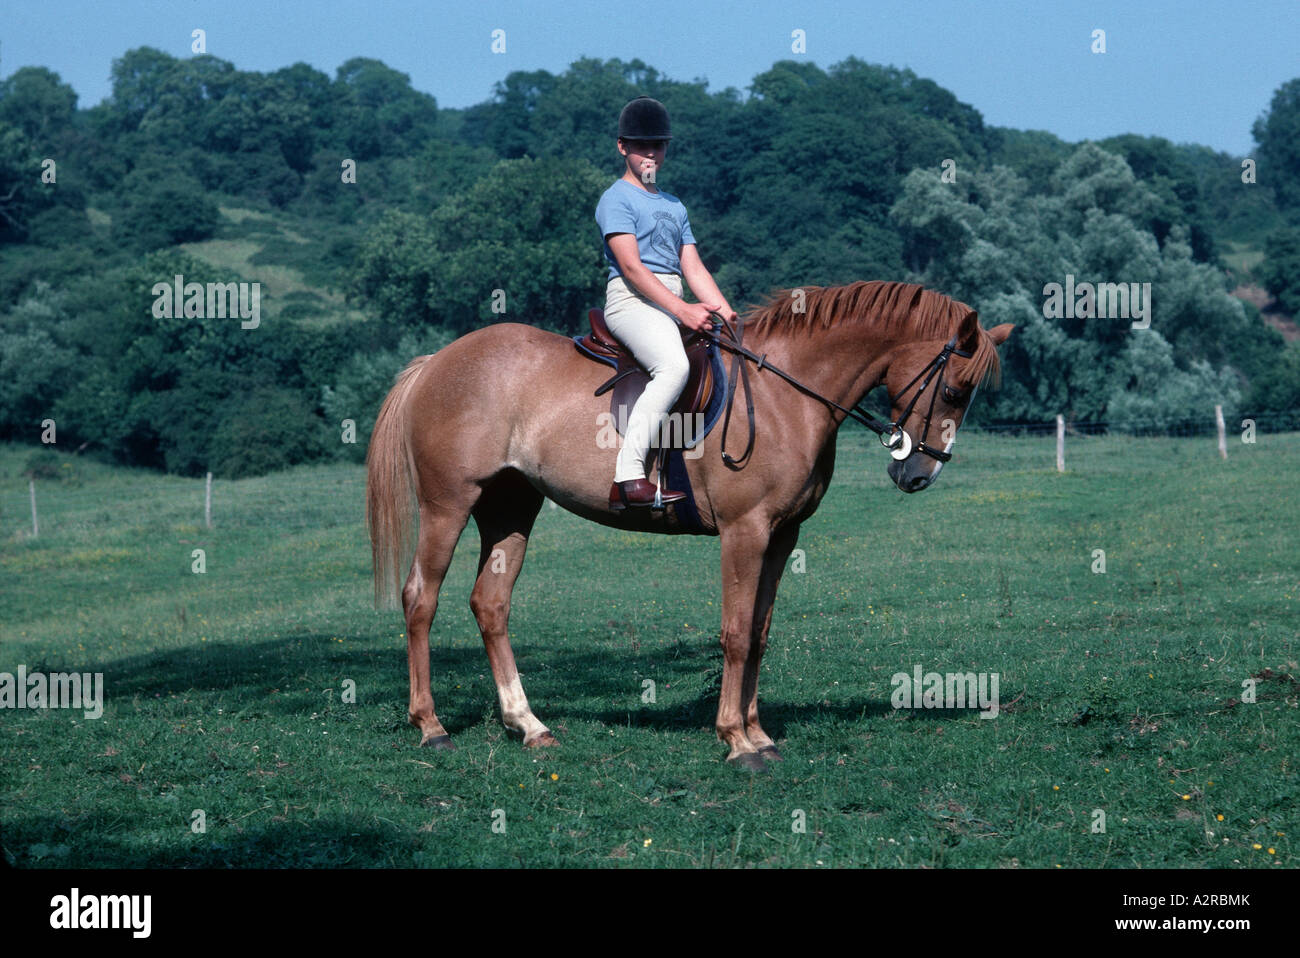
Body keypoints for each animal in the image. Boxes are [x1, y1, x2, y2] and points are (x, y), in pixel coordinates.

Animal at [366, 280, 1014, 771]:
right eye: (953, 389)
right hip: (448, 506)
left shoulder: (781, 536)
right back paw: (431, 726)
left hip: (510, 510)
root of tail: (436, 362)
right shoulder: (744, 531)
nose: (920, 473)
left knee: (491, 604)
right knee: (420, 598)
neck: (784, 392)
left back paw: (528, 724)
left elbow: (759, 632)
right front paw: (736, 741)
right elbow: (735, 633)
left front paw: (760, 734)